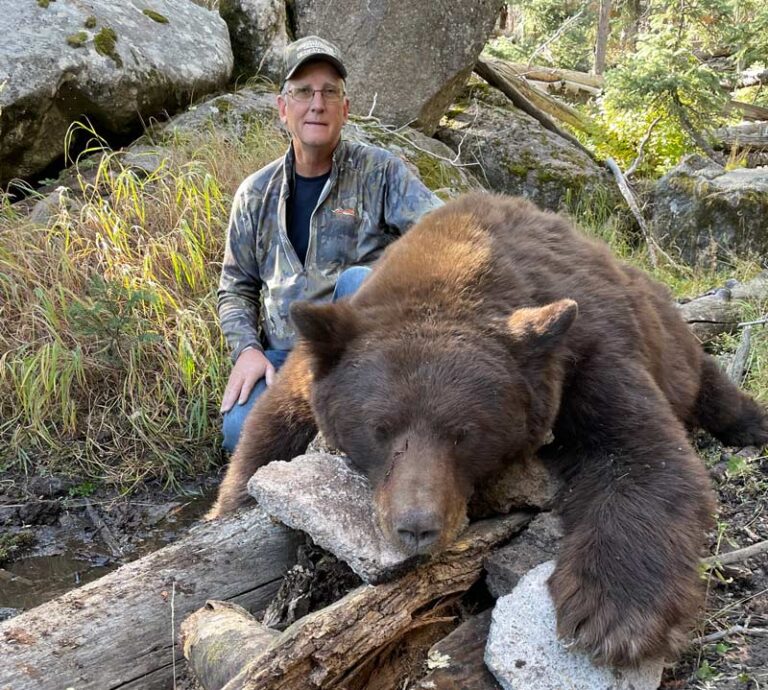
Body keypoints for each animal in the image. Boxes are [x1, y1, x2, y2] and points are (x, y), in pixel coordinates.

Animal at [207, 192, 768, 667]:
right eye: (380, 429)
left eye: (464, 433)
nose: (416, 526)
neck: (465, 258)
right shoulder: (318, 364)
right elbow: (266, 433)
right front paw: (227, 512)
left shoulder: (586, 350)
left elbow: (643, 452)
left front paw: (613, 615)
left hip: (670, 338)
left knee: (708, 385)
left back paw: (752, 422)